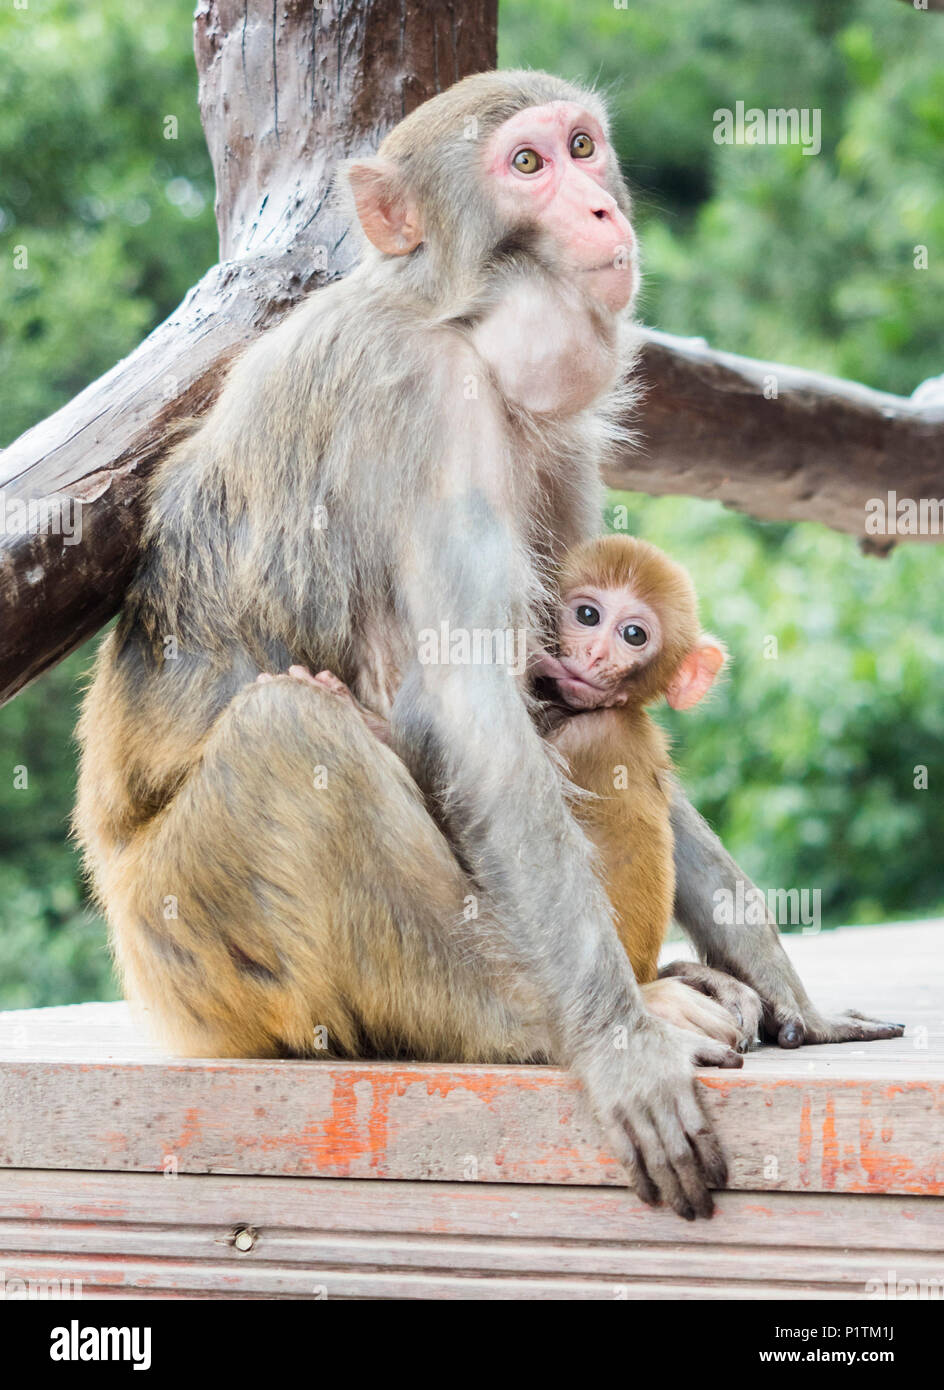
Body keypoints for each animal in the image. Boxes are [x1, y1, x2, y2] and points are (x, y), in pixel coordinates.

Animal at [74, 70, 904, 1222]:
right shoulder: (425, 406)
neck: (460, 322)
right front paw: (614, 1046)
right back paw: (532, 1016)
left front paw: (787, 989)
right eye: (525, 166)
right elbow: (464, 707)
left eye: (581, 146)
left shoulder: (557, 440)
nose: (598, 207)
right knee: (293, 731)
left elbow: (580, 689)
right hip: (188, 941)